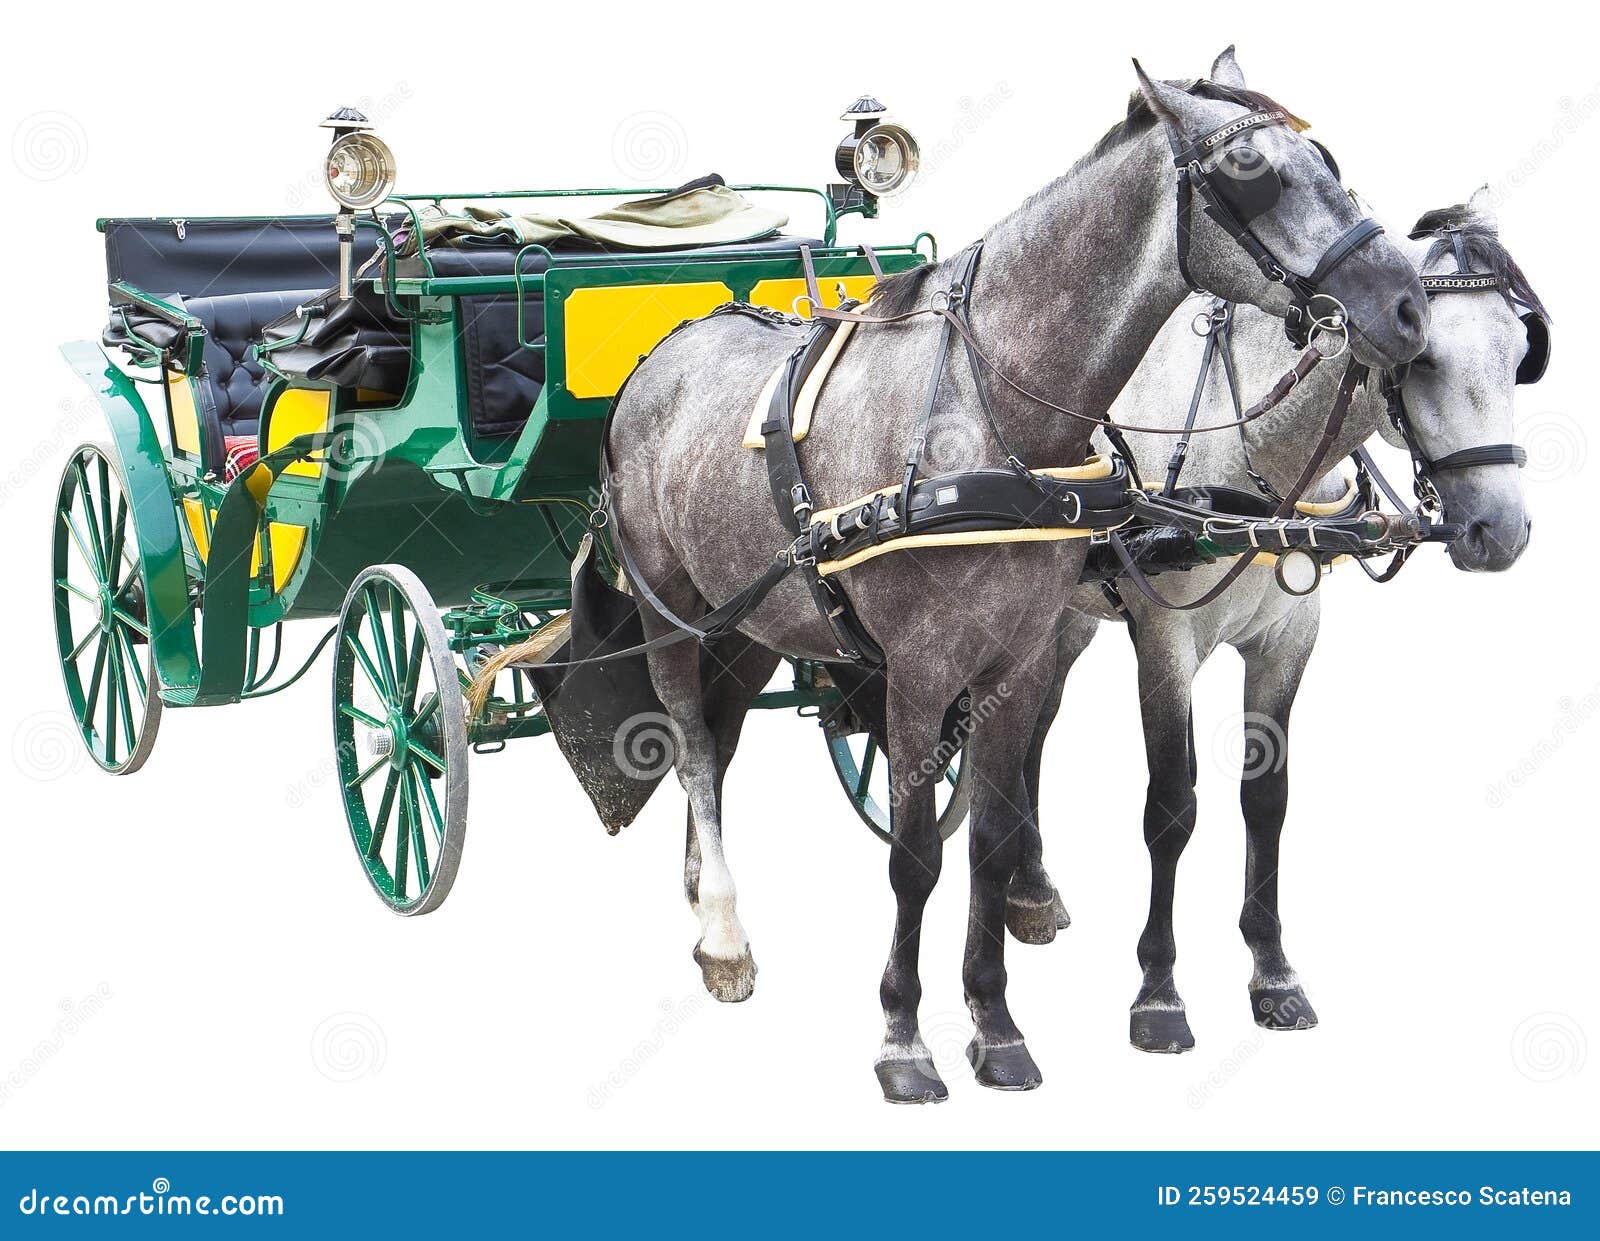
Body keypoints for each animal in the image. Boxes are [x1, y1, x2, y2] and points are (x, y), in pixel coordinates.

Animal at [603, 48, 1428, 1102]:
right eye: (1256, 174)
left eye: (1328, 162)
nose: (1404, 305)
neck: (986, 416)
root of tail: (661, 349)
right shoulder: (920, 673)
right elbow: (916, 856)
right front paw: (904, 1037)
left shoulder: (1020, 657)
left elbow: (990, 839)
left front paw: (994, 1024)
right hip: (673, 609)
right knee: (691, 740)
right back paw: (721, 929)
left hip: (753, 616)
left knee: (720, 727)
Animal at [1012, 187, 1544, 1055]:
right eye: (1424, 359)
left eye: (1521, 355)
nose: (1501, 530)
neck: (1247, 457)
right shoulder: (1165, 639)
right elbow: (1172, 805)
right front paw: (1158, 991)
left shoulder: (1288, 640)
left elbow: (1268, 800)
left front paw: (1273, 972)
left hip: (1070, 620)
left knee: (1034, 727)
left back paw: (1029, 884)